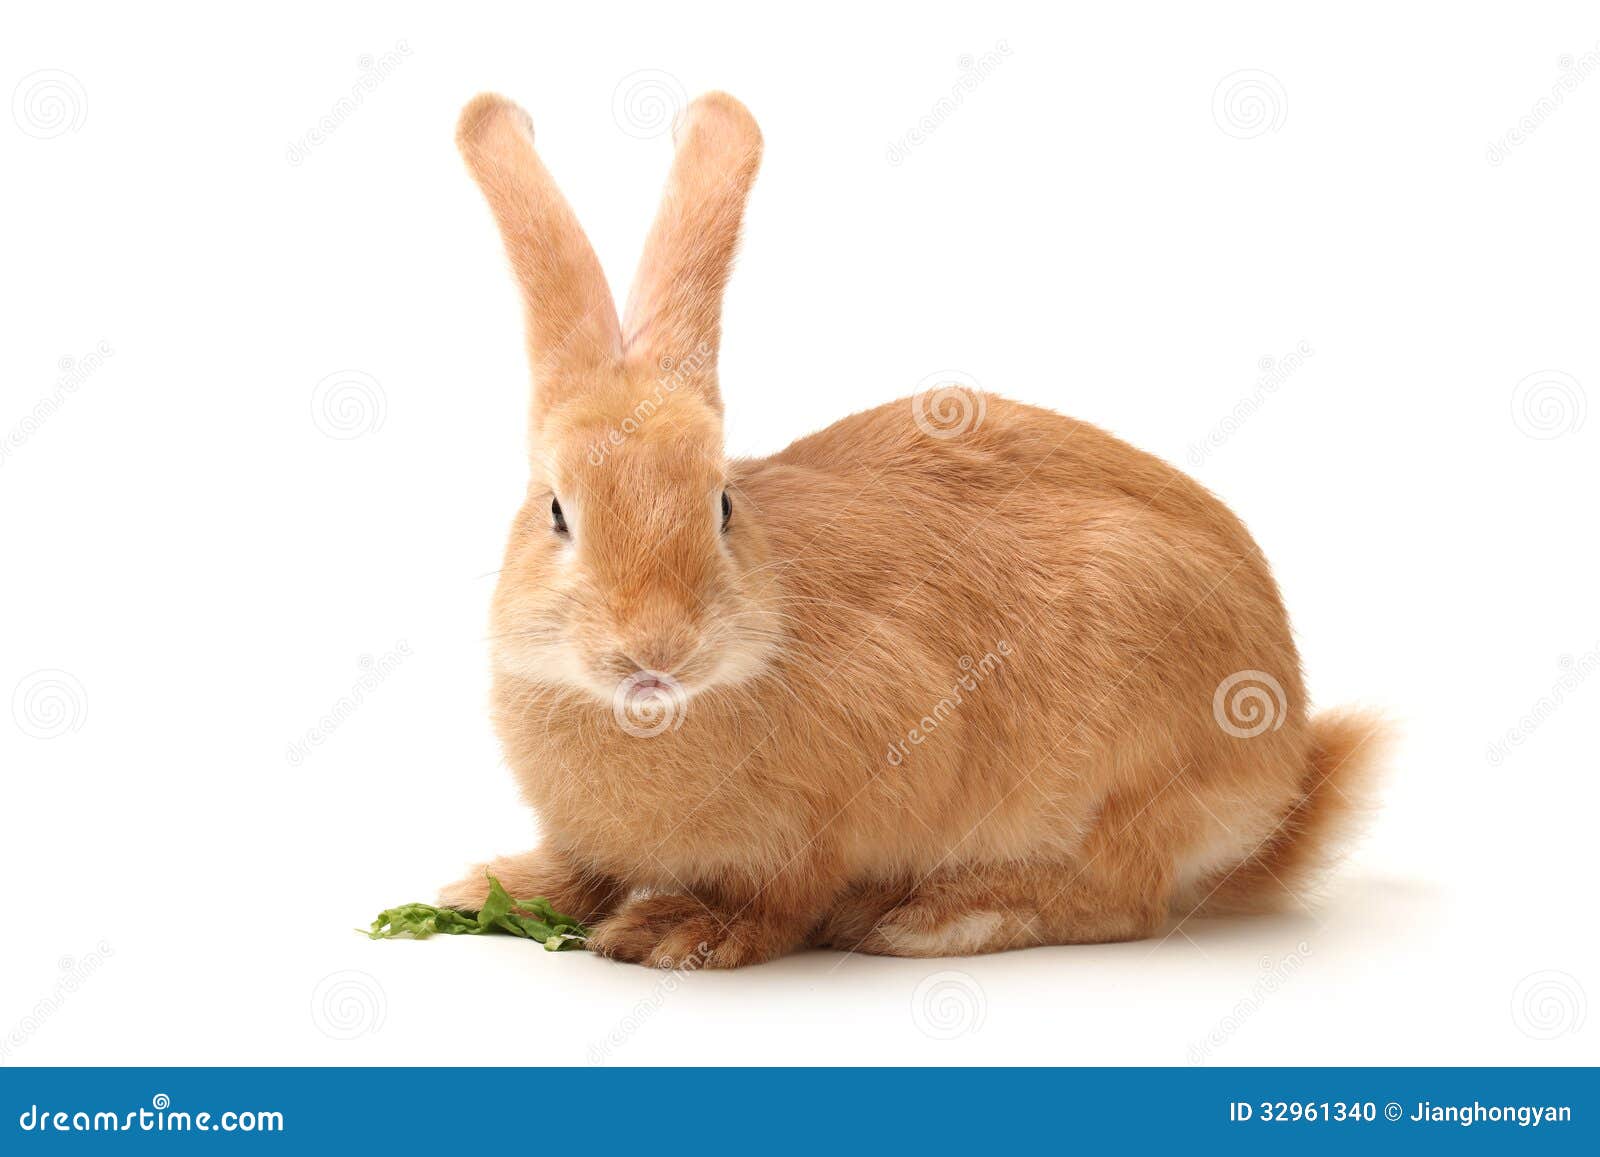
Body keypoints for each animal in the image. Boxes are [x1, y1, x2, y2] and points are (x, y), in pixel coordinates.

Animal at [438, 90, 1387, 968]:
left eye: (722, 505)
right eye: (555, 509)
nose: (657, 650)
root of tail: (1283, 775)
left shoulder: (845, 799)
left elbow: (782, 897)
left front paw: (683, 931)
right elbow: (580, 866)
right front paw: (485, 892)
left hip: (1132, 764)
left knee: (1123, 897)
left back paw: (935, 916)